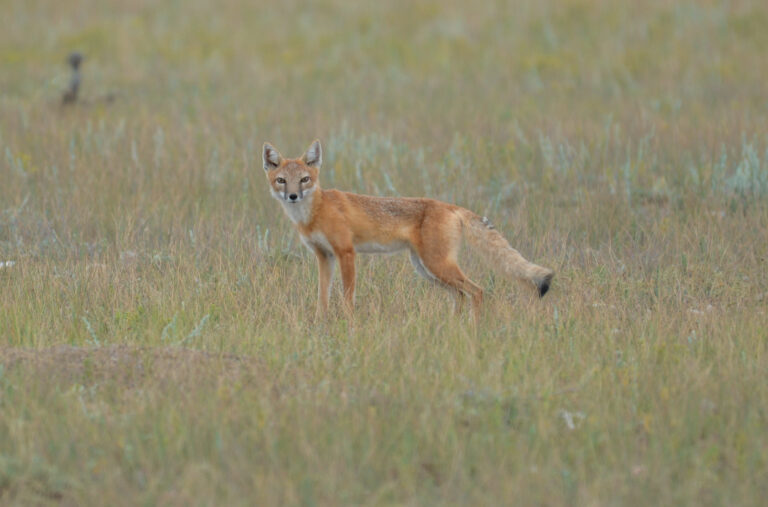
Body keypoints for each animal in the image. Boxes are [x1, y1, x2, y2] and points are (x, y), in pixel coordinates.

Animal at [263, 139, 554, 317]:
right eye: (282, 181)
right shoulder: (324, 256)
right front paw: (321, 324)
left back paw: (474, 329)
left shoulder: (346, 253)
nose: (293, 196)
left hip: (437, 266)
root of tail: (451, 206)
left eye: (304, 179)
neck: (314, 213)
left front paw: (349, 325)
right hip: (428, 270)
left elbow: (347, 298)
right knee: (460, 296)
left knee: (477, 291)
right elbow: (322, 298)